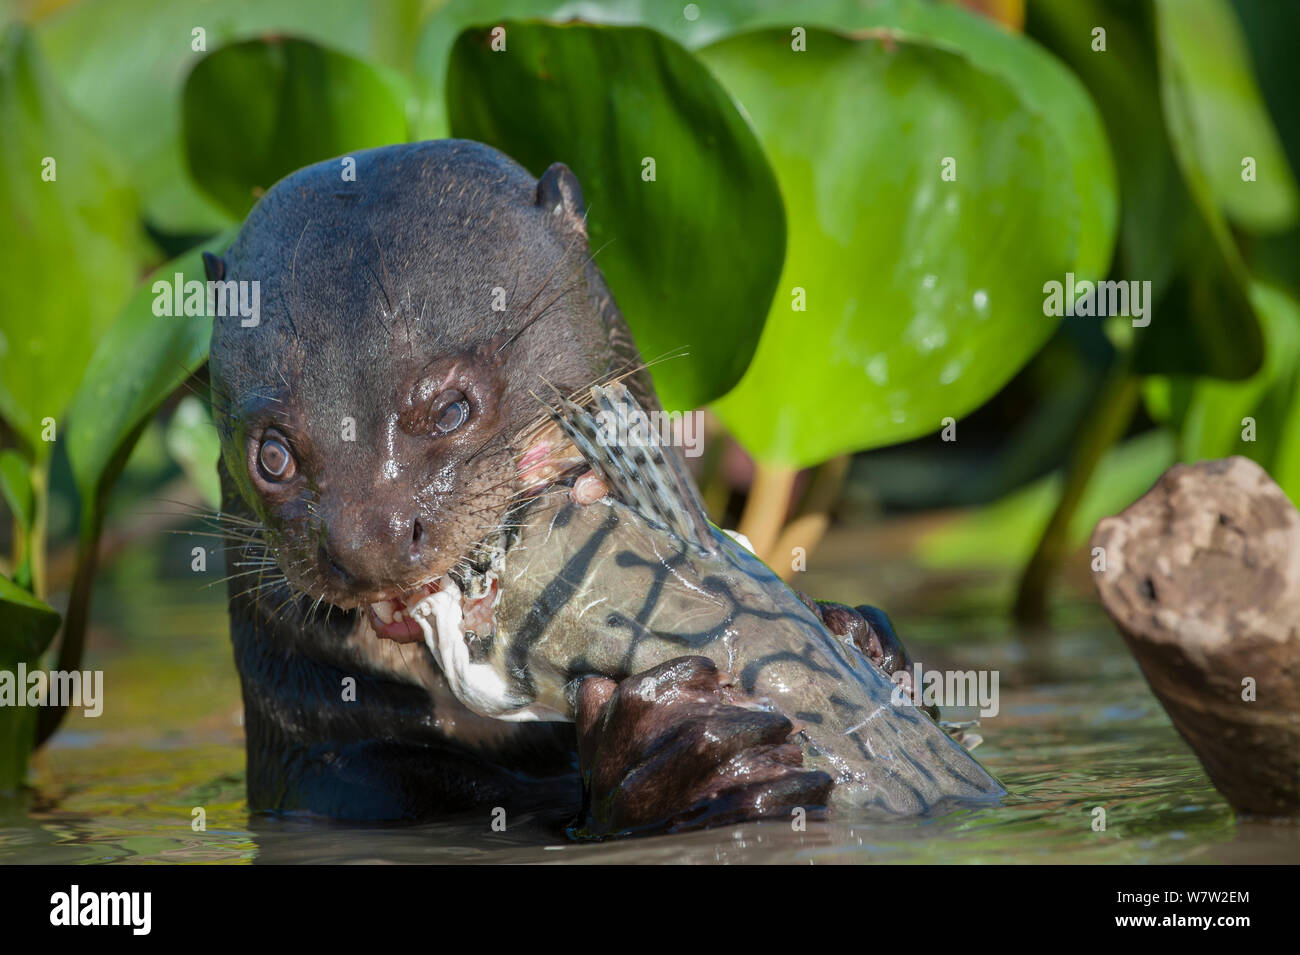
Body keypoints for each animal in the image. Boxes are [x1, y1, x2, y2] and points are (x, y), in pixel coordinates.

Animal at [204, 139, 914, 835]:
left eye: (451, 410)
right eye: (273, 455)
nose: (368, 542)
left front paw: (859, 636)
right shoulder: (348, 781)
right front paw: (679, 752)